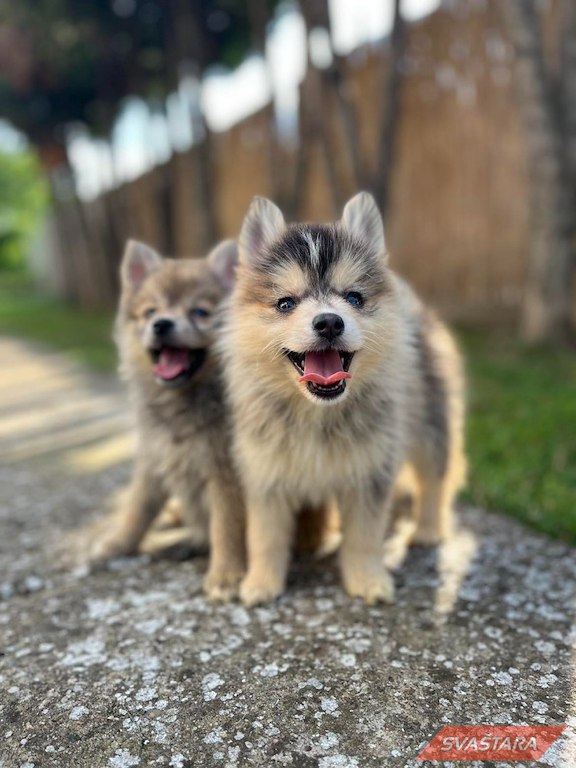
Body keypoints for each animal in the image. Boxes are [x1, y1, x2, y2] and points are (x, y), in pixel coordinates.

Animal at [218, 190, 466, 608]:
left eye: (354, 298)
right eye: (285, 303)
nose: (330, 322)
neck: (317, 413)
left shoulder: (370, 469)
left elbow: (364, 537)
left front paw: (367, 580)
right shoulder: (266, 473)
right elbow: (265, 537)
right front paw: (261, 583)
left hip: (432, 427)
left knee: (435, 479)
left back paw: (428, 529)